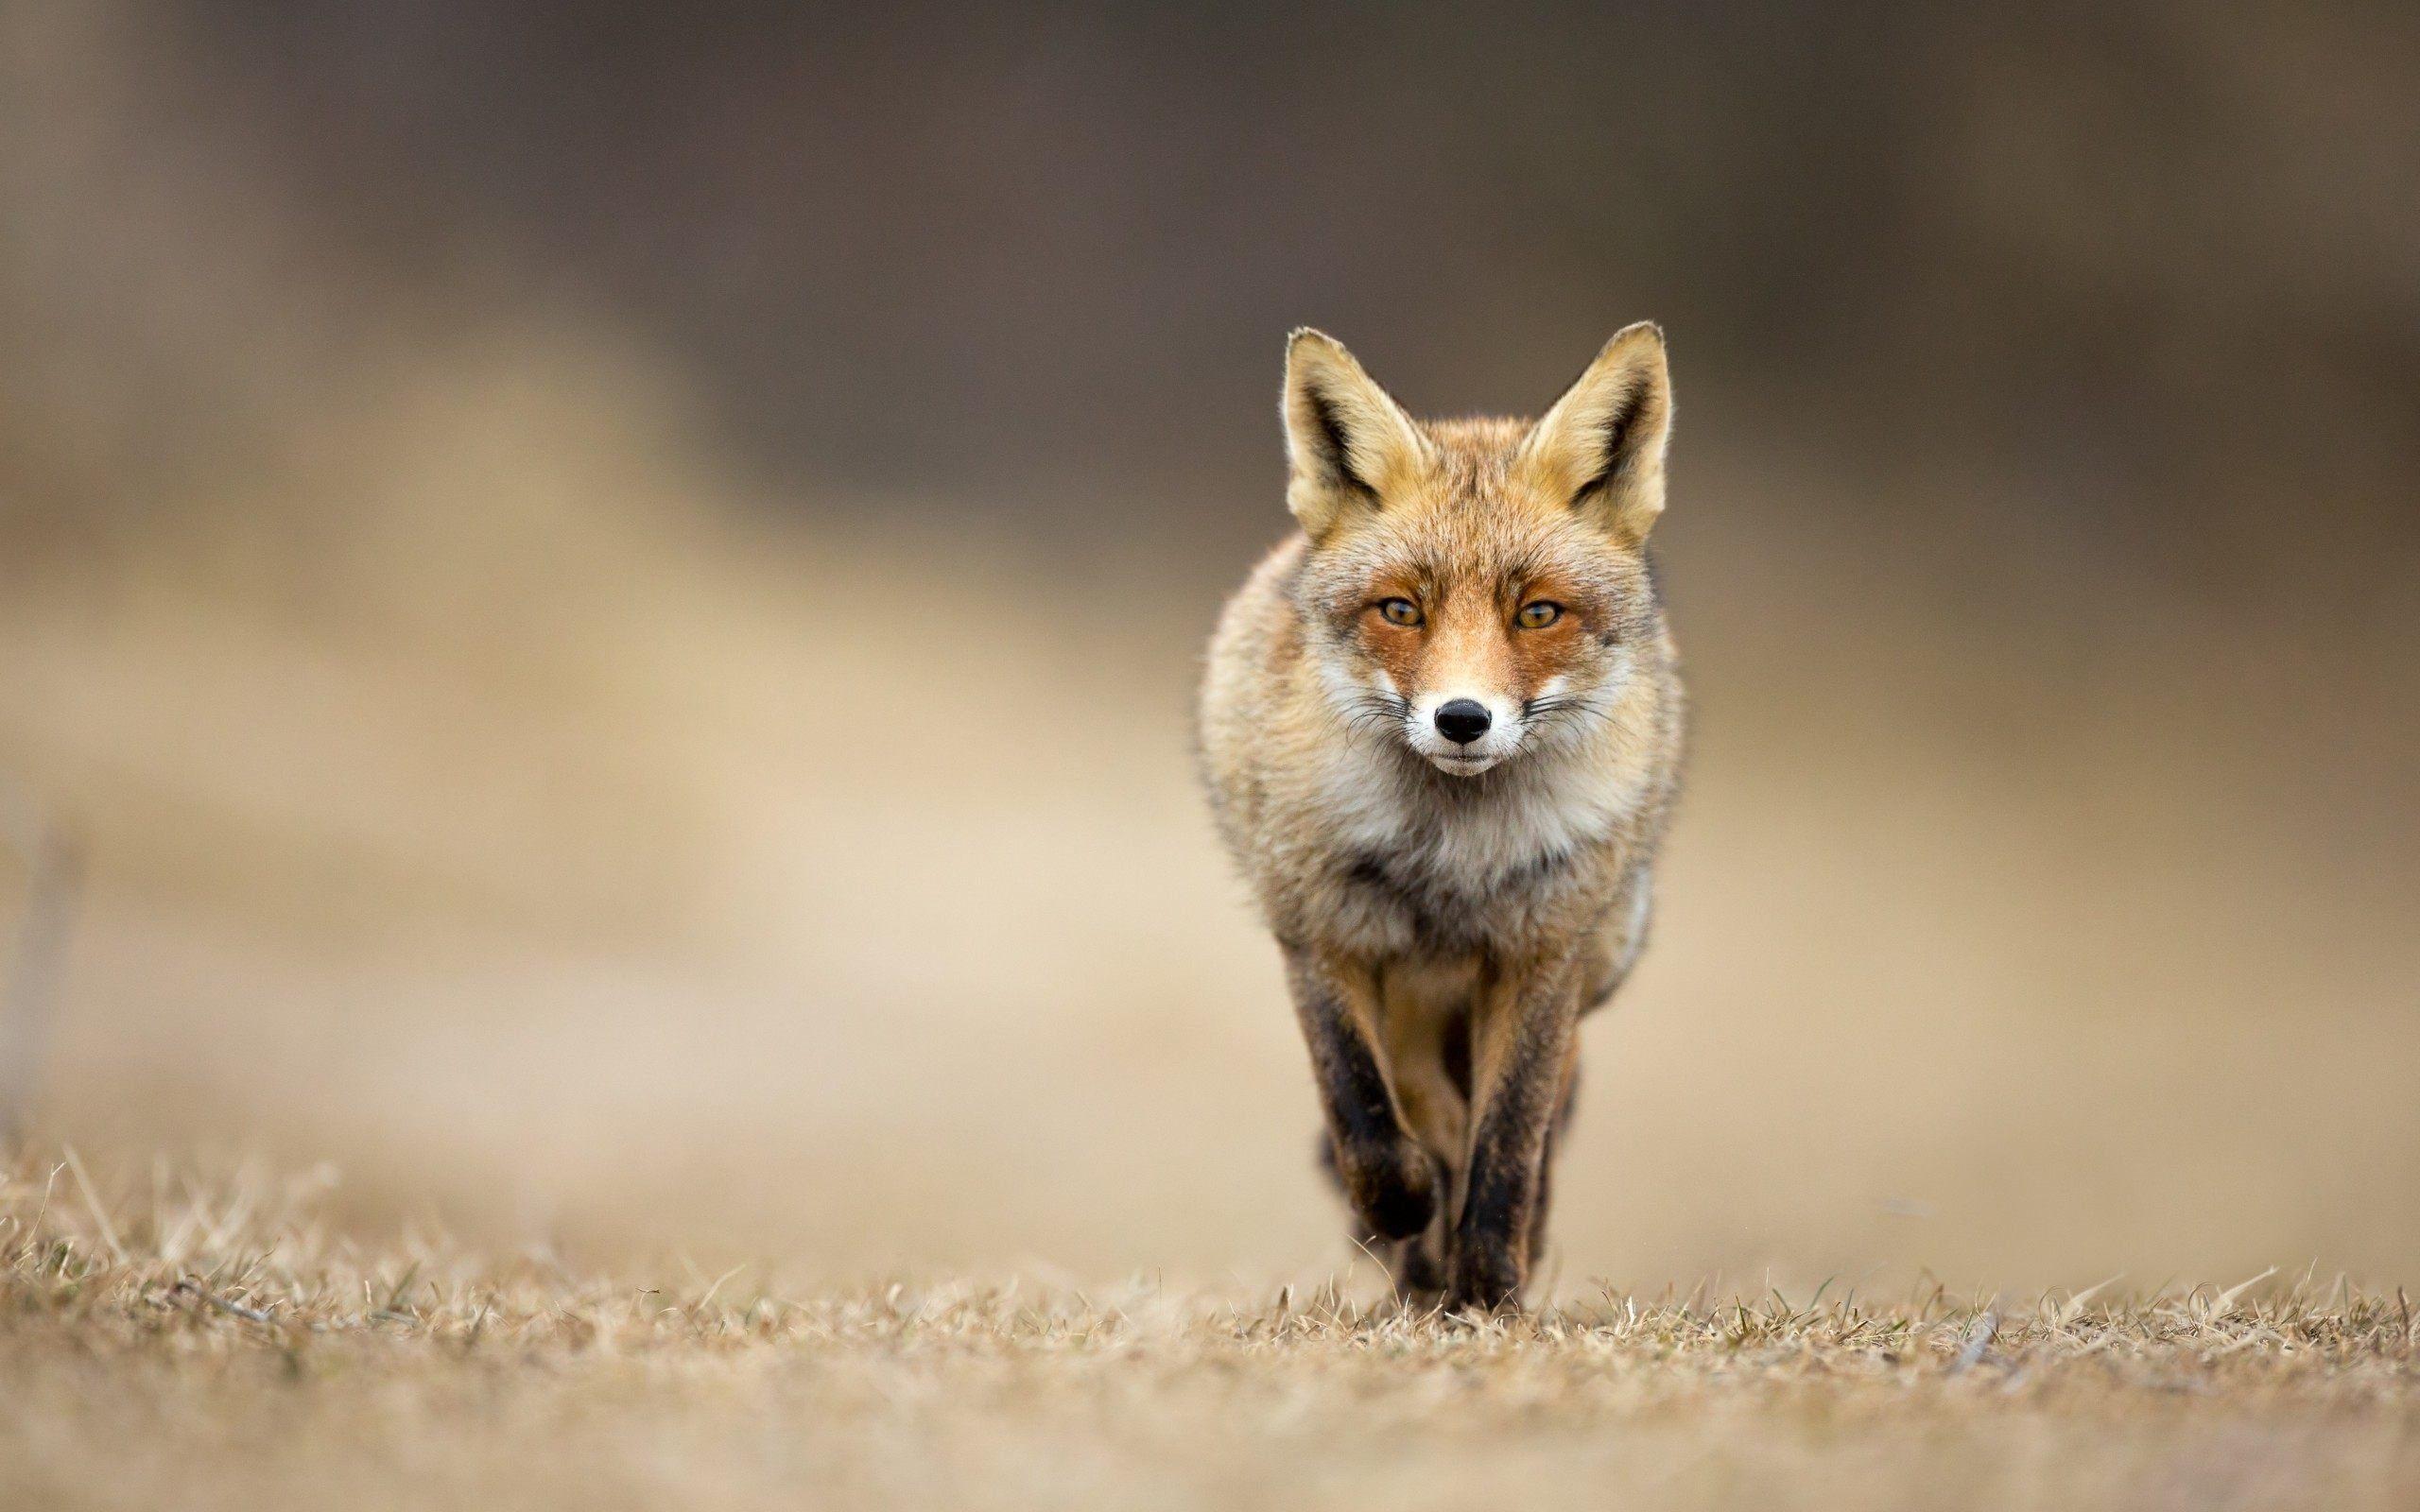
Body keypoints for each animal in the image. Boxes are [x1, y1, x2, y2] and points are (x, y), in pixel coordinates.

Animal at [1197, 324, 1686, 1312]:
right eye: (1401, 610)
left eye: (1538, 612)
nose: (1463, 719)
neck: (1452, 855)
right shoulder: (1321, 936)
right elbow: (1365, 1118)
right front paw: (1407, 1214)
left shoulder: (1541, 956)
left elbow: (1510, 1145)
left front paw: (1493, 1291)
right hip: (1412, 990)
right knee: (1424, 1107)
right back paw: (1417, 1259)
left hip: (1588, 959)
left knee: (1528, 1124)